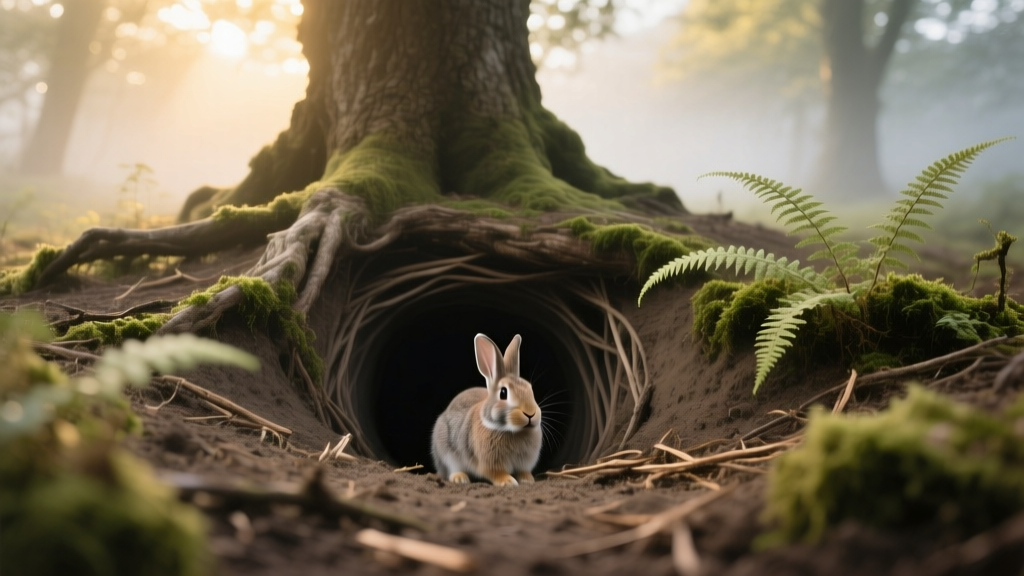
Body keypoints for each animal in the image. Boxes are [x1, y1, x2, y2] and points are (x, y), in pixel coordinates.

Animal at [430, 333, 542, 487]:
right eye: (503, 393)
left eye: (530, 389)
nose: (530, 413)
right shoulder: (489, 463)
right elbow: (496, 473)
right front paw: (508, 481)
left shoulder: (523, 463)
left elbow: (522, 471)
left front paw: (527, 479)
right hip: (446, 451)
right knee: (452, 469)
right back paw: (460, 478)